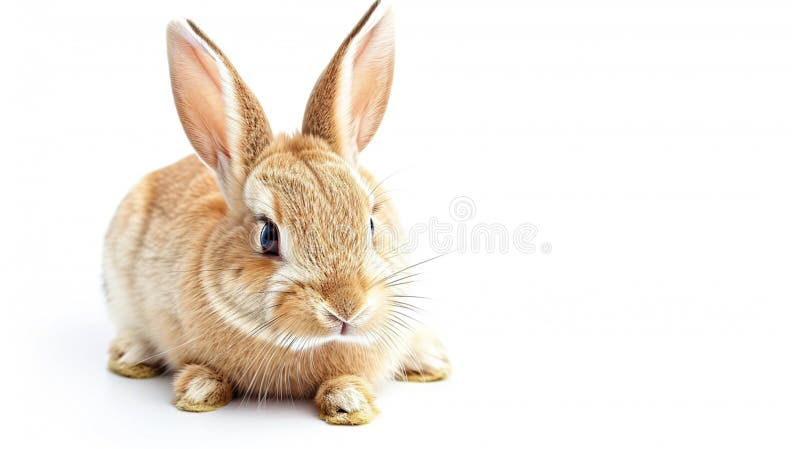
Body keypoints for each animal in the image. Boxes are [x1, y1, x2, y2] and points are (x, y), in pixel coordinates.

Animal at [102, 0, 449, 425]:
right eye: (268, 236)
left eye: (370, 223)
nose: (346, 308)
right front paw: (199, 390)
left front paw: (349, 401)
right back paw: (132, 355)